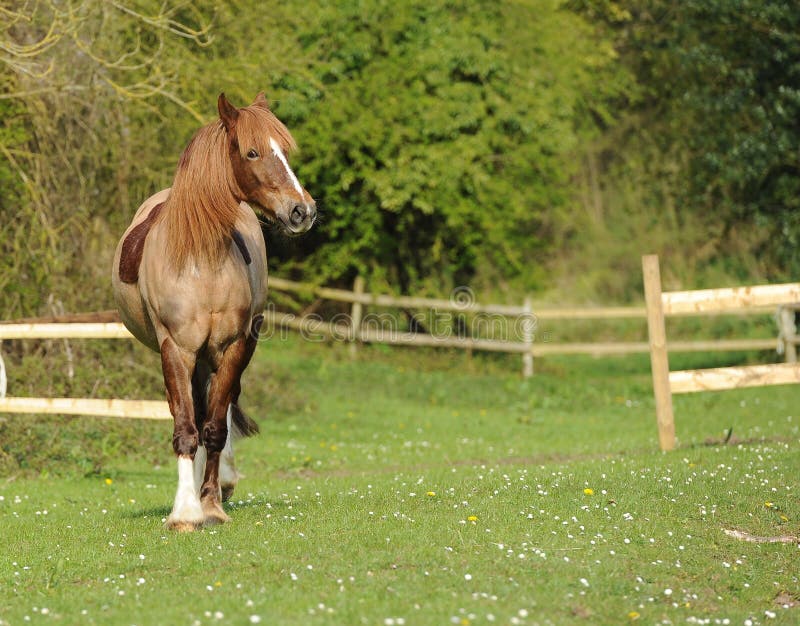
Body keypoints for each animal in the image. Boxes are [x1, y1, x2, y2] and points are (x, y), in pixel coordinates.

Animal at [112, 93, 316, 531]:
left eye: (284, 149)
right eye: (252, 152)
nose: (302, 211)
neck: (201, 263)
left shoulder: (233, 348)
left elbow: (215, 426)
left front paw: (210, 504)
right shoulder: (177, 350)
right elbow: (186, 427)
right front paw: (185, 512)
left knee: (218, 410)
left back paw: (223, 482)